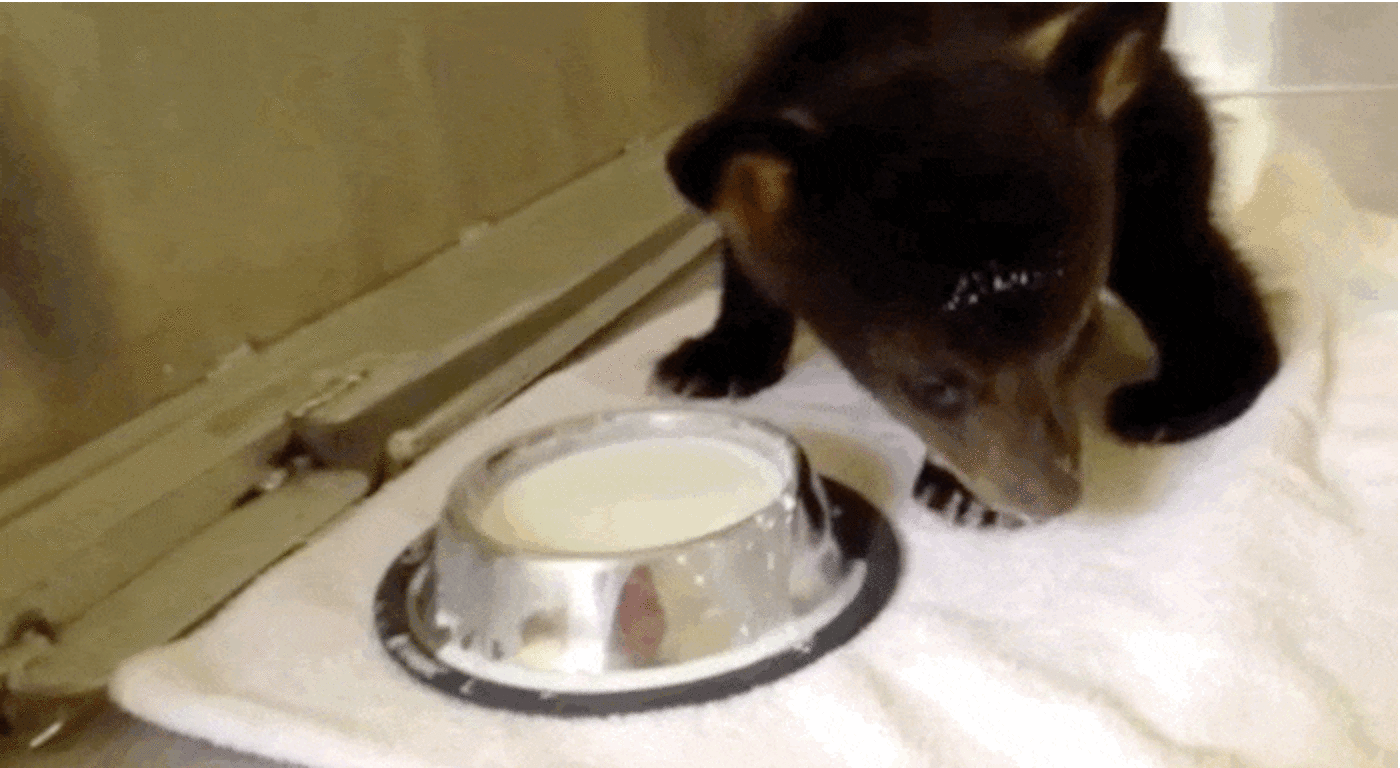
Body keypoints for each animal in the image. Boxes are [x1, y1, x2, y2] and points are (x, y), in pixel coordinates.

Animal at [653, 2, 1280, 527]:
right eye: (933, 384)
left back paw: (1176, 398)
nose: (1053, 499)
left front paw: (959, 492)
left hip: (1151, 158)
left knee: (1176, 257)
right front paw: (717, 360)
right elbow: (744, 253)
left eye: (1076, 336)